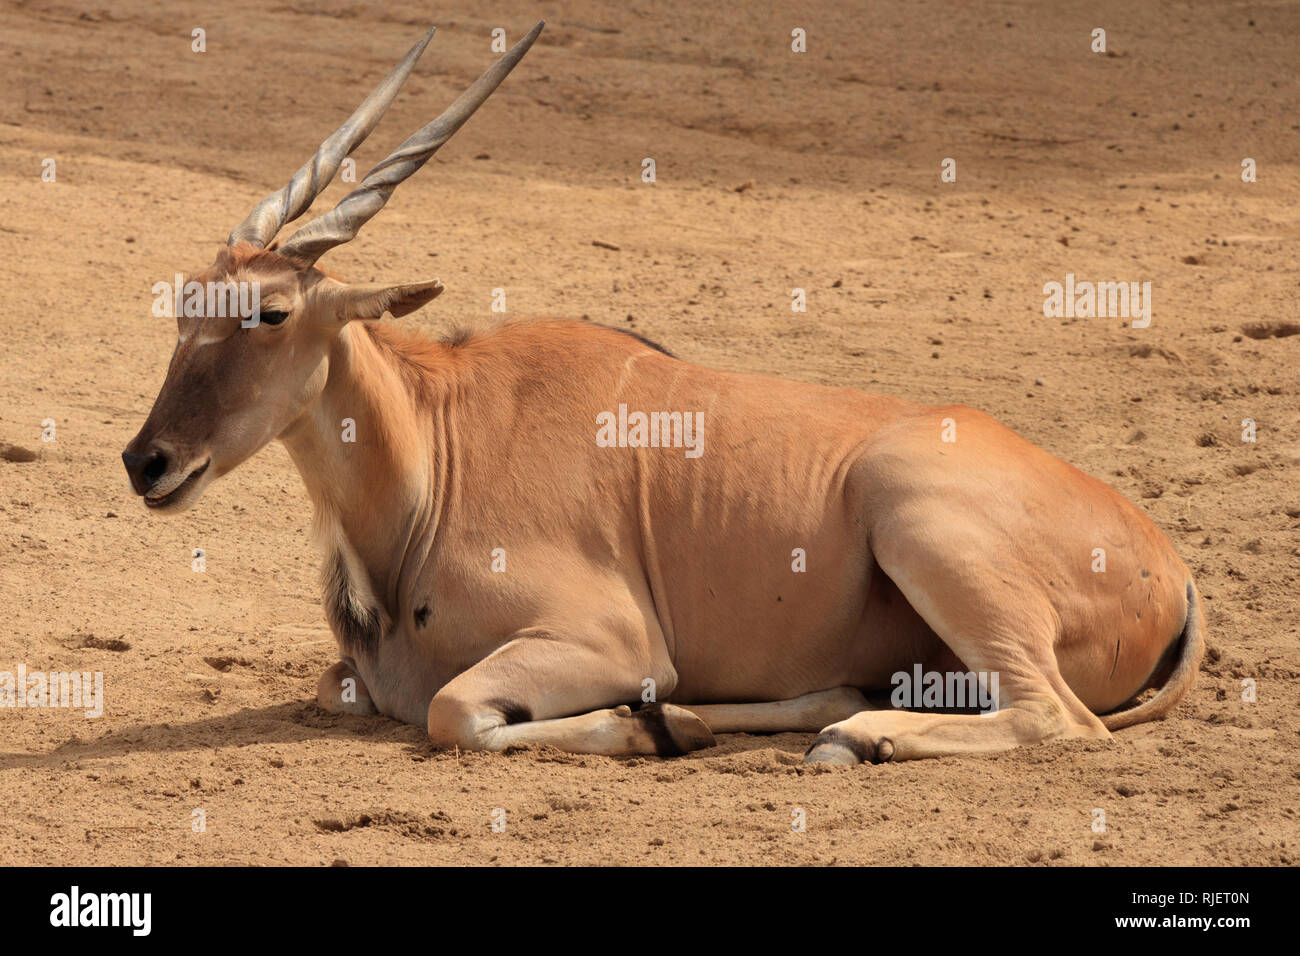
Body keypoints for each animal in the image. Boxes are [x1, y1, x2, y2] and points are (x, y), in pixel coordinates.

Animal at [122, 21, 1204, 764]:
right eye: (184, 303)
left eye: (269, 313)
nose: (148, 460)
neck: (439, 451)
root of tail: (1172, 566)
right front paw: (669, 718)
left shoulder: (605, 636)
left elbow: (453, 710)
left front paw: (649, 723)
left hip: (914, 514)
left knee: (1055, 716)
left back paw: (848, 736)